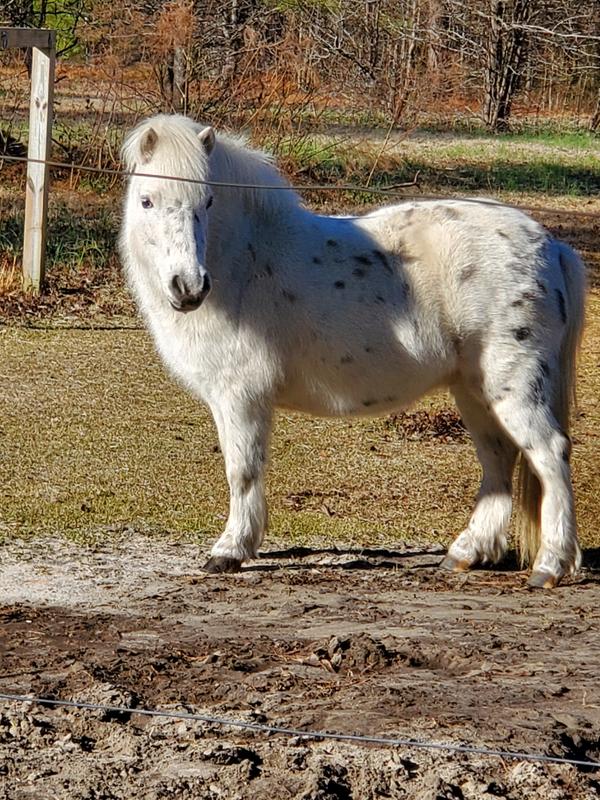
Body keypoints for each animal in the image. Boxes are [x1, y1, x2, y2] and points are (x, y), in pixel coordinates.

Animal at [119, 113, 587, 589]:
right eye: (147, 201)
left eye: (209, 201)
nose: (188, 287)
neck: (246, 261)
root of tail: (549, 244)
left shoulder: (240, 396)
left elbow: (242, 469)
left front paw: (230, 551)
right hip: (473, 389)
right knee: (497, 457)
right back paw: (467, 552)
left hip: (514, 386)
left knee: (549, 453)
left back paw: (549, 566)